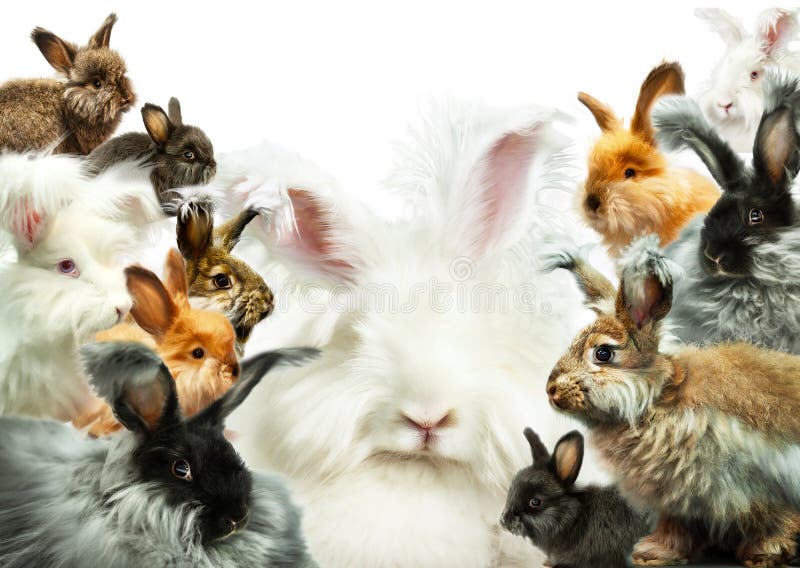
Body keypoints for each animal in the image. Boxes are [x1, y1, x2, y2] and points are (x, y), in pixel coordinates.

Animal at [544, 237, 800, 567]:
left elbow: (773, 520)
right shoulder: (681, 502)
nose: (551, 389)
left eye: (603, 353)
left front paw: (766, 554)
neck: (655, 402)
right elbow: (677, 529)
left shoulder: (756, 486)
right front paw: (653, 553)